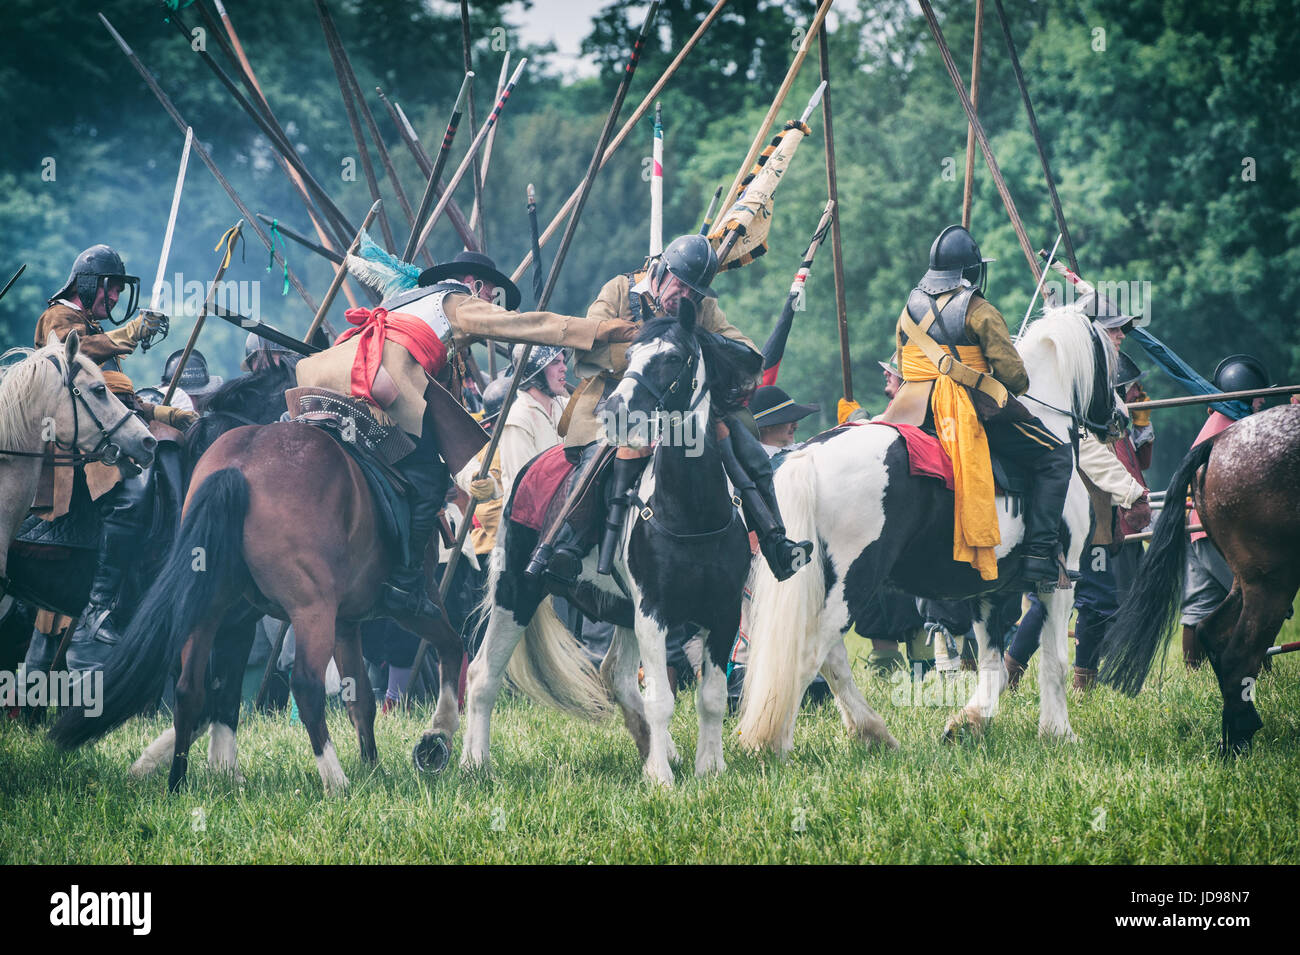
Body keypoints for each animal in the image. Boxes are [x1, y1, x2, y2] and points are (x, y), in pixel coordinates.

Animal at [50, 415, 467, 795]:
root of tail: (238, 467)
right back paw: (335, 782)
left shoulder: (340, 624)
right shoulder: (410, 605)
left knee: (190, 689)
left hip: (212, 613)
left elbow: (359, 699)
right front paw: (436, 736)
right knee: (306, 685)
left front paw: (372, 766)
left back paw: (179, 782)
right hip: (313, 612)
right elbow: (450, 647)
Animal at [465, 310, 754, 789]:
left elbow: (711, 697)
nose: (614, 411)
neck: (692, 512)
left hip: (619, 610)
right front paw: (660, 779)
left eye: (672, 357)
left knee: (617, 677)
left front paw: (709, 768)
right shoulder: (653, 613)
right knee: (482, 675)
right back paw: (474, 762)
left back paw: (661, 749)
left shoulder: (724, 612)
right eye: (630, 354)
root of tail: (526, 468)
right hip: (515, 594)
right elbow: (661, 698)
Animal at [738, 310, 1123, 758]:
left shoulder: (990, 591)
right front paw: (1059, 733)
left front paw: (969, 722)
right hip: (854, 582)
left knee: (830, 659)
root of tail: (809, 456)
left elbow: (993, 663)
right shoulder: (1059, 582)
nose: (1120, 418)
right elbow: (1055, 660)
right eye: (1110, 360)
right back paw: (776, 744)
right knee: (809, 654)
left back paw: (871, 732)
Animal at [1097, 402, 1300, 753]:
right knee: (1239, 654)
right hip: (1273, 581)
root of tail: (1216, 444)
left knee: (1212, 632)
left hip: (1246, 581)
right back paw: (1238, 740)